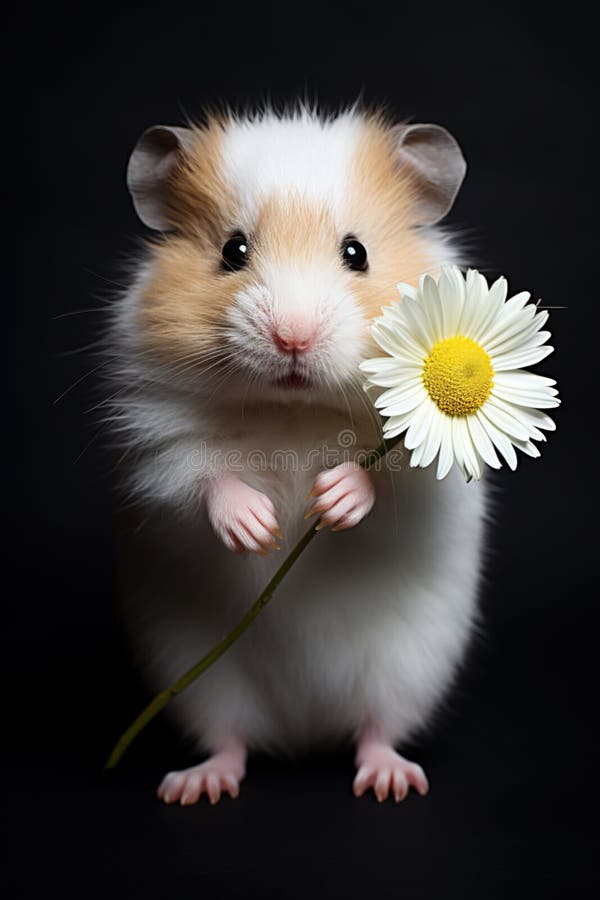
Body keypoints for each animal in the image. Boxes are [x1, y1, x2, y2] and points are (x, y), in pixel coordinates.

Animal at [109, 106, 485, 805]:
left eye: (356, 252)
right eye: (232, 250)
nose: (292, 338)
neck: (294, 408)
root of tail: (305, 732)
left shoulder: (430, 465)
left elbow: (392, 479)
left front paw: (331, 501)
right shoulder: (159, 430)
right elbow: (203, 475)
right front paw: (258, 530)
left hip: (406, 669)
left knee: (377, 729)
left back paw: (389, 781)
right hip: (201, 679)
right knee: (229, 740)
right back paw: (195, 787)